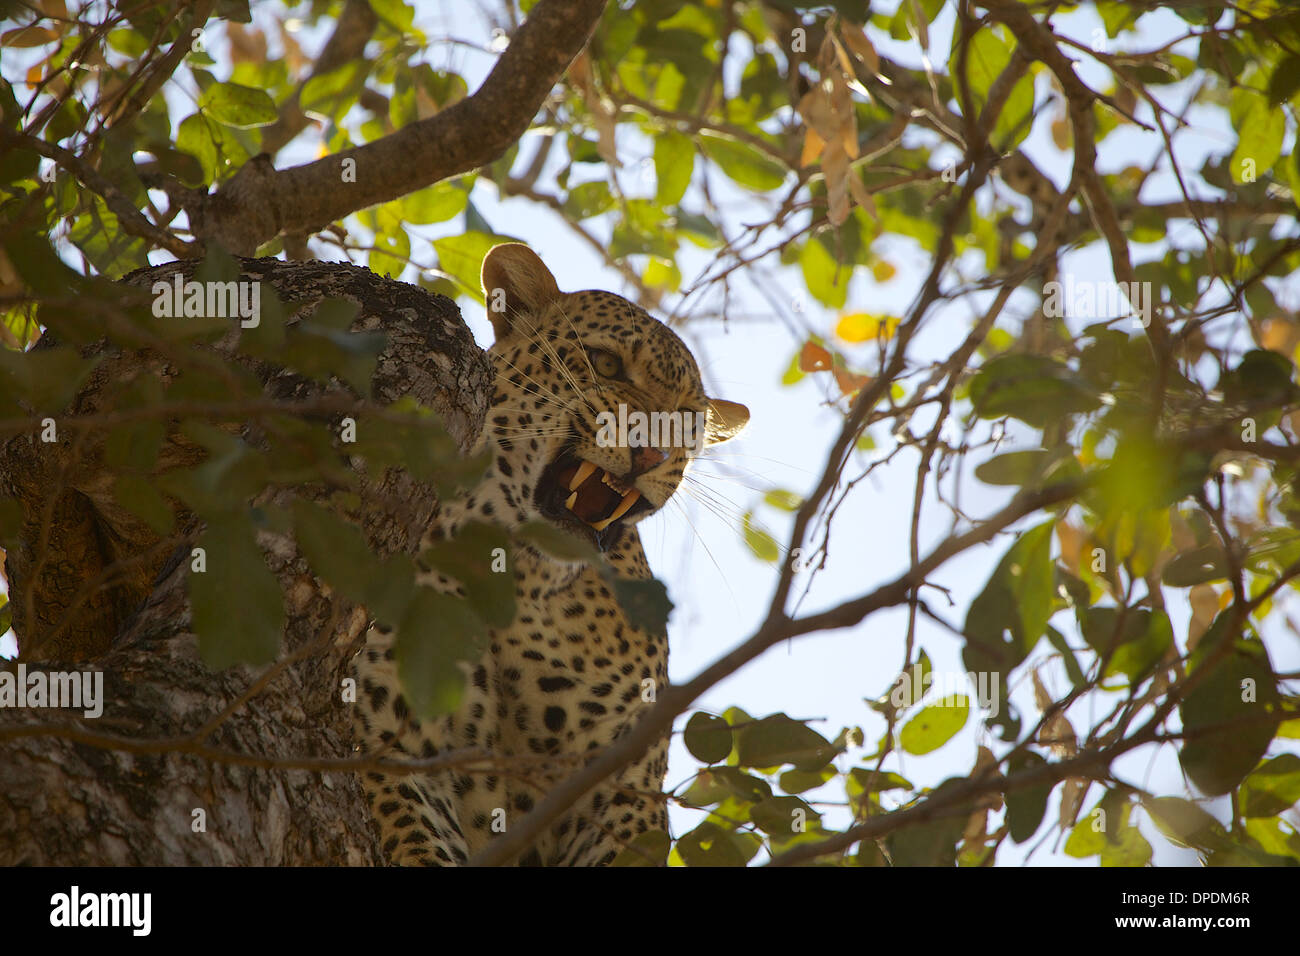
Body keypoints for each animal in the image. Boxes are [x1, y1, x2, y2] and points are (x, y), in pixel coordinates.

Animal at [352, 243, 749, 866]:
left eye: (687, 420)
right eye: (606, 364)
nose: (653, 453)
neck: (519, 577)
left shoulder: (621, 781)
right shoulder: (389, 734)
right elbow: (419, 842)